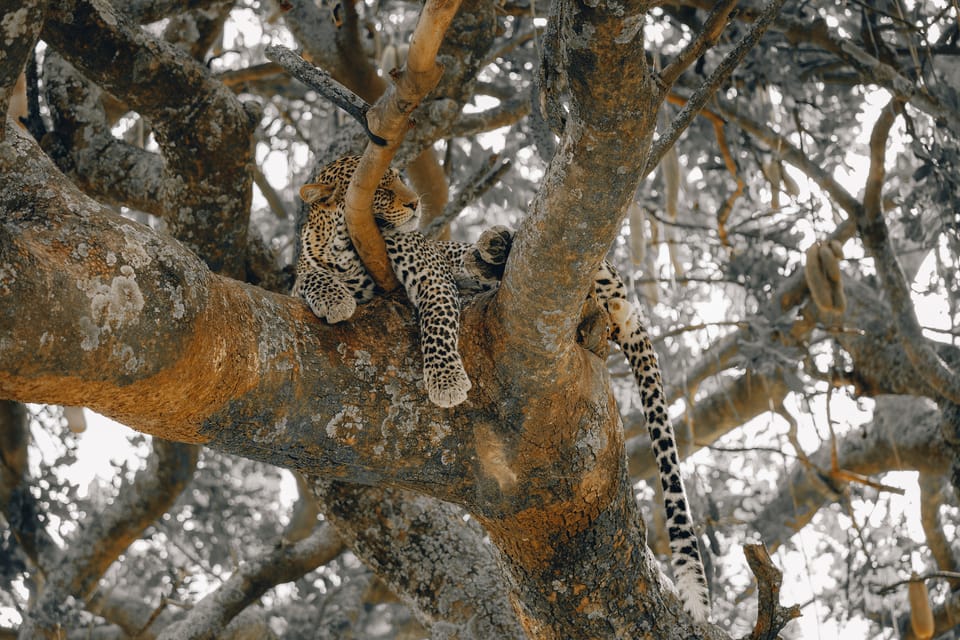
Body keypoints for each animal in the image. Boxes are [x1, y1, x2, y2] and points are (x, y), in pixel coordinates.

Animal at [293, 155, 501, 408]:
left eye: (400, 179)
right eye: (380, 190)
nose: (415, 203)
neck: (339, 248)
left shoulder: (432, 275)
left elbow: (437, 328)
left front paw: (446, 381)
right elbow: (308, 275)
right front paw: (336, 300)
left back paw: (494, 248)